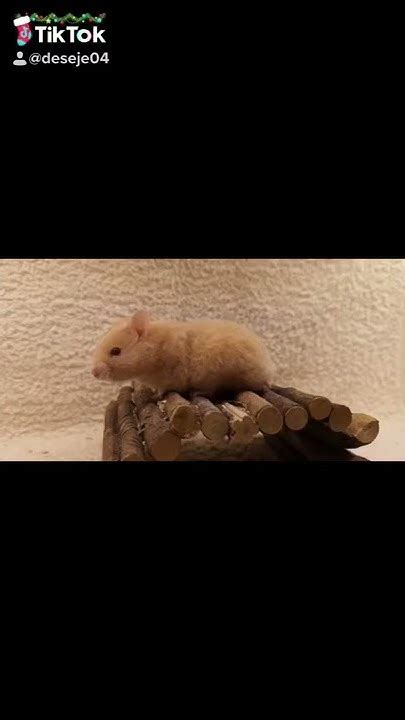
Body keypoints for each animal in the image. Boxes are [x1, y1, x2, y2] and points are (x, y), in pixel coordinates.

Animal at [92, 311, 273, 396]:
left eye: (115, 351)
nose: (93, 373)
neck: (155, 351)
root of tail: (267, 371)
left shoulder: (171, 378)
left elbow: (164, 389)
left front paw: (157, 396)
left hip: (216, 374)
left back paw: (197, 392)